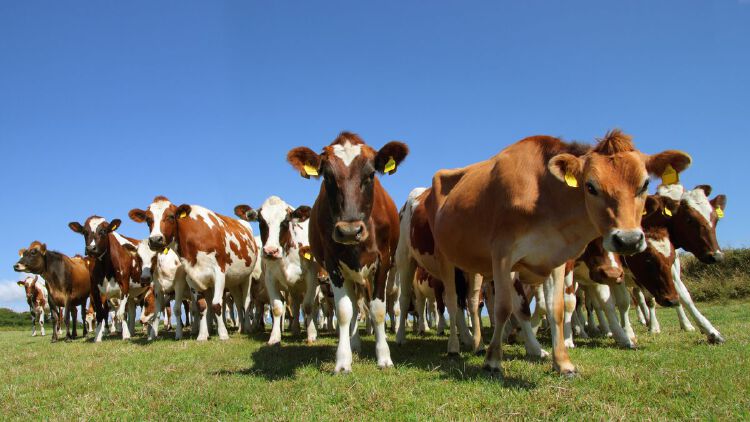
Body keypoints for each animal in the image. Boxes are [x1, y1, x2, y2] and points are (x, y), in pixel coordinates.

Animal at [128, 196, 258, 341]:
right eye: (148, 220)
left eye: (171, 216)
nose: (155, 240)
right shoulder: (192, 278)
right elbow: (201, 307)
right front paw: (202, 335)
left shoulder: (219, 273)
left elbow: (217, 304)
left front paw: (223, 334)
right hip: (233, 282)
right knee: (237, 303)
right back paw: (235, 328)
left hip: (246, 278)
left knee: (245, 302)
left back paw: (247, 328)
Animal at [234, 196, 320, 345]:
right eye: (261, 222)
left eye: (285, 222)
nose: (271, 251)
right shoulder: (270, 278)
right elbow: (277, 308)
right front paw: (274, 337)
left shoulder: (312, 276)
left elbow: (308, 306)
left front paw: (311, 334)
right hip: (292, 288)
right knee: (295, 306)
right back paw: (295, 329)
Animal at [286, 131, 408, 372]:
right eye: (327, 177)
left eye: (371, 174)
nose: (350, 231)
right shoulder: (333, 265)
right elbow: (344, 311)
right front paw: (343, 360)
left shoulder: (383, 262)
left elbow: (377, 310)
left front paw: (384, 356)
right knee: (353, 306)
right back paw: (354, 342)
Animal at [421, 129, 690, 376]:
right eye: (590, 186)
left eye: (644, 184)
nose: (628, 240)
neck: (544, 196)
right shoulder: (502, 255)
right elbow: (503, 307)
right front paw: (493, 360)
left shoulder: (556, 259)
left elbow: (556, 309)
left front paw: (563, 363)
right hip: (445, 258)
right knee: (454, 303)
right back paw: (455, 347)